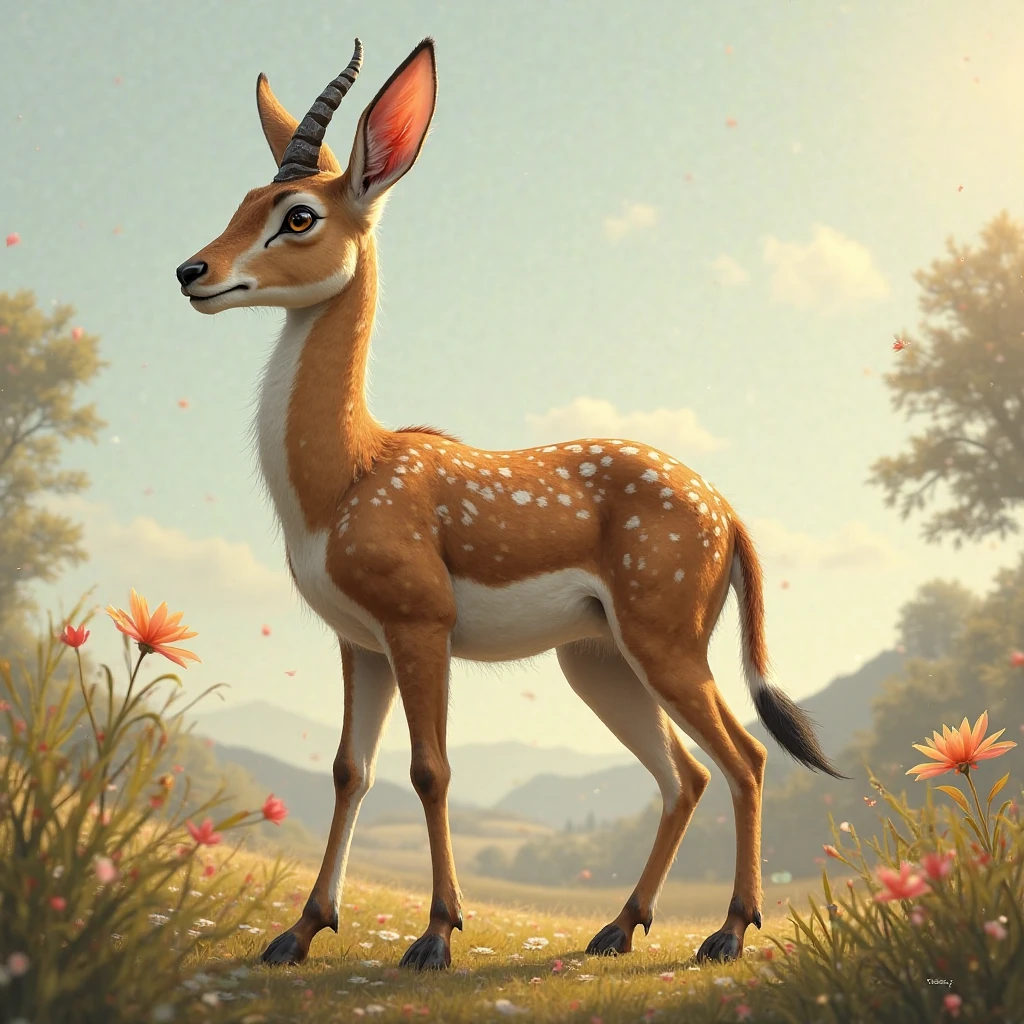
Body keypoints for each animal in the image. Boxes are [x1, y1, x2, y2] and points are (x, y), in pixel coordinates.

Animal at [175, 37, 844, 971]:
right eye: (244, 200)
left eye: (297, 215)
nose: (192, 272)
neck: (347, 475)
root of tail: (728, 511)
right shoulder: (360, 642)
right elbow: (351, 770)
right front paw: (298, 932)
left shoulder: (420, 625)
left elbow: (431, 769)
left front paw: (434, 937)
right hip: (598, 662)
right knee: (687, 773)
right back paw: (616, 928)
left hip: (664, 644)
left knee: (743, 756)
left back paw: (725, 934)